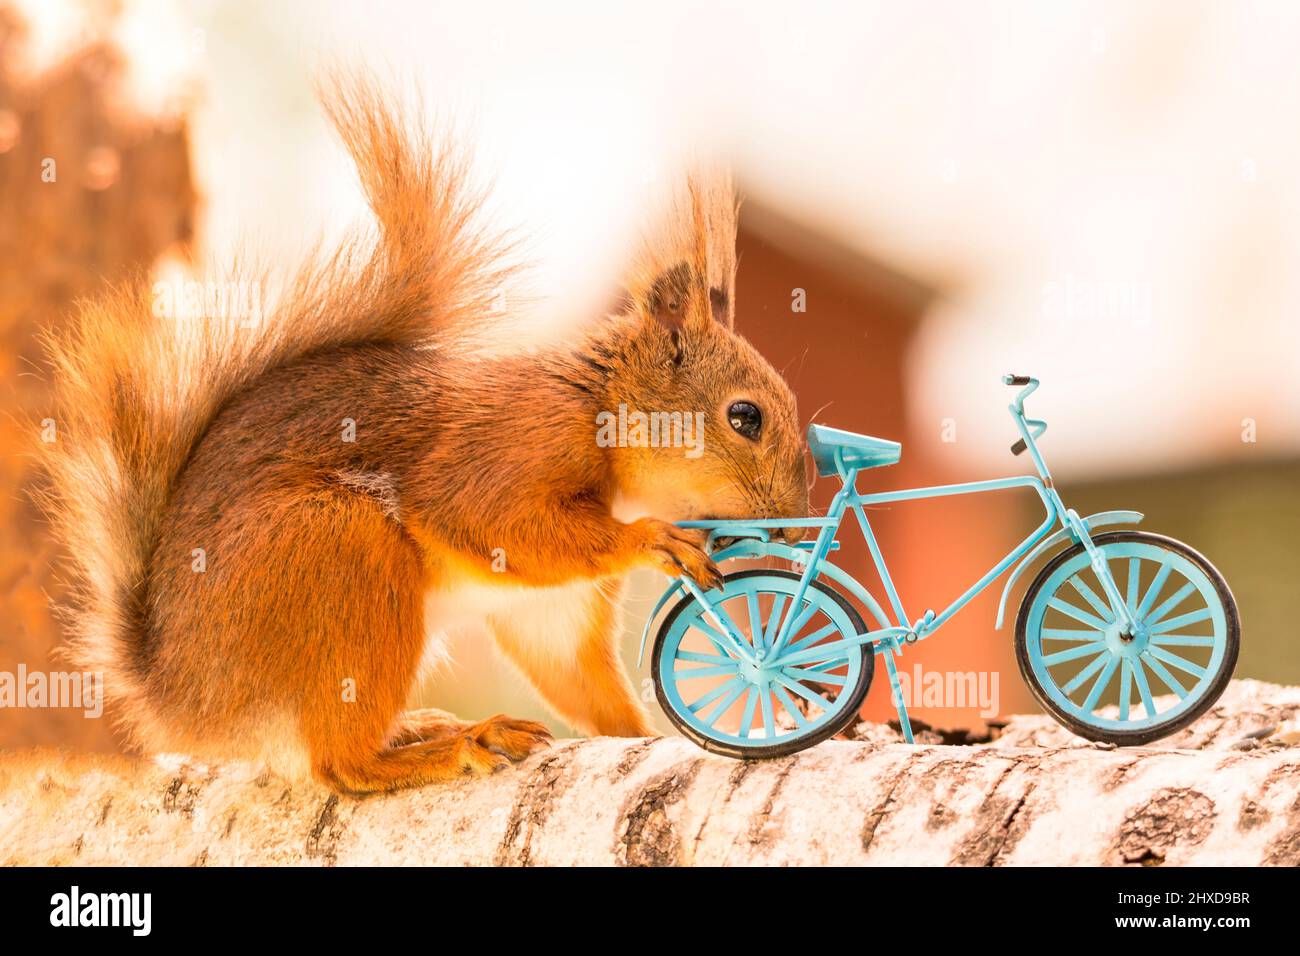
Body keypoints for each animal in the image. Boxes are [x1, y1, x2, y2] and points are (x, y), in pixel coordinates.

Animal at [39, 74, 809, 794]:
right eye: (746, 417)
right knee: (340, 764)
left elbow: (576, 674)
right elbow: (493, 519)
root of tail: (178, 701)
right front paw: (652, 538)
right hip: (338, 551)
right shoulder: (511, 448)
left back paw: (420, 726)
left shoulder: (555, 608)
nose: (794, 529)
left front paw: (645, 734)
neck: (601, 408)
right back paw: (457, 743)